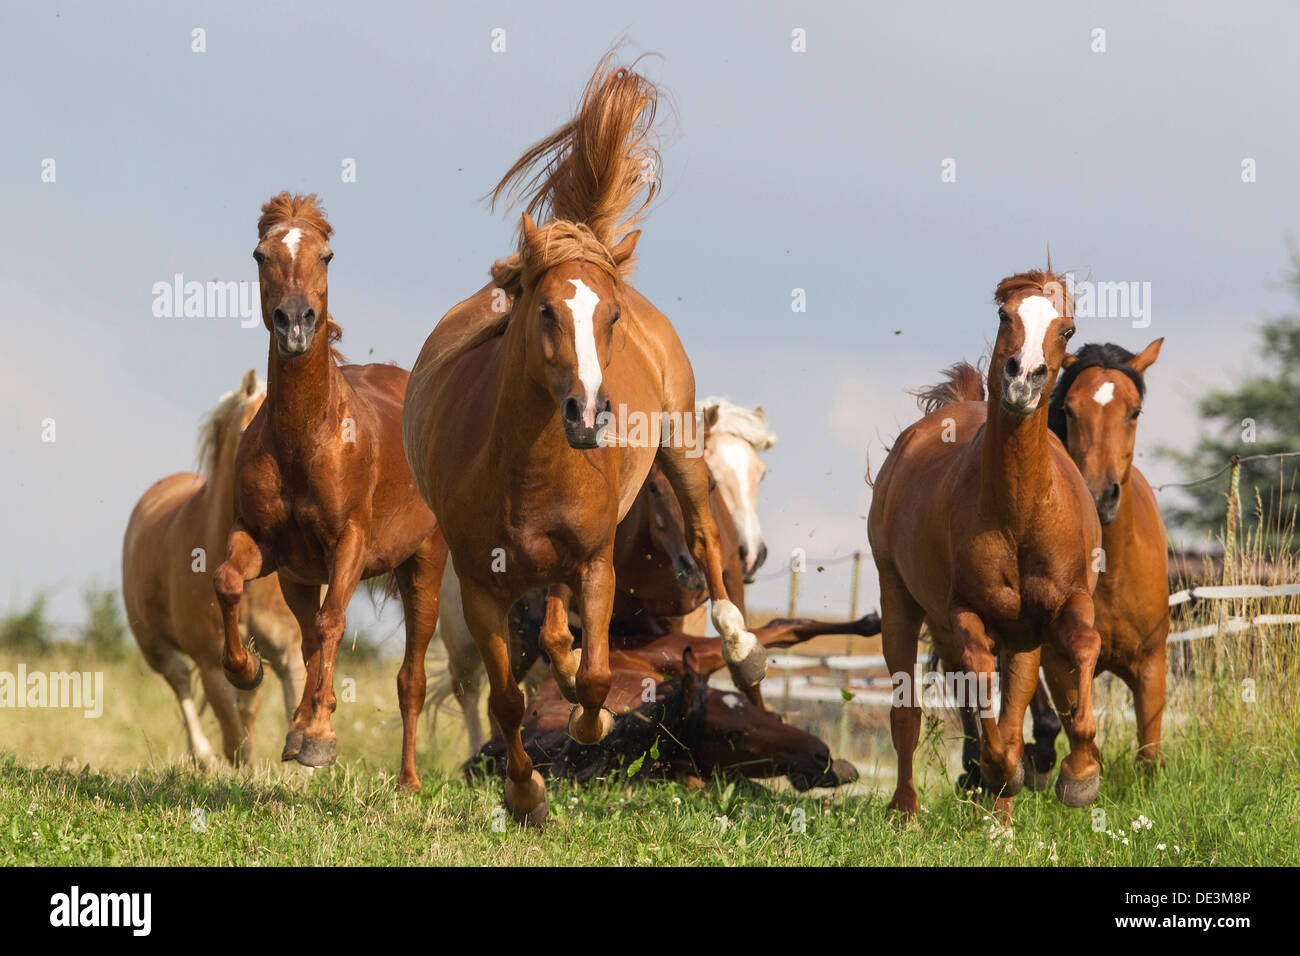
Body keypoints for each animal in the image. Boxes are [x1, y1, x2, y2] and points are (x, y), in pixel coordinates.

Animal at [122, 370, 305, 765]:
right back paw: (202, 757)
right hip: (154, 646)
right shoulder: (211, 663)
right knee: (179, 681)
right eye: (246, 431)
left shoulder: (289, 654)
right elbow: (237, 743)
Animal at [212, 192, 446, 788]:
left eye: (327, 255)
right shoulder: (265, 544)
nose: (295, 323)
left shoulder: (350, 544)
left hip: (424, 566)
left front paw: (320, 736)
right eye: (260, 254)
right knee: (309, 641)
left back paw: (407, 779)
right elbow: (229, 582)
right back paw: (298, 725)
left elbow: (333, 622)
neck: (306, 437)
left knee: (410, 677)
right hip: (298, 576)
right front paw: (246, 670)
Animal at [402, 55, 762, 824]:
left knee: (706, 539)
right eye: (544, 310)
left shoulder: (598, 564)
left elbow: (598, 678)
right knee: (550, 632)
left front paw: (589, 721)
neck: (528, 468)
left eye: (611, 316)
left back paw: (742, 648)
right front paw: (525, 793)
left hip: (680, 446)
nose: (590, 415)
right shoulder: (481, 584)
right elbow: (509, 699)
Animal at [867, 269, 1103, 818]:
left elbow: (1085, 647)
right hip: (900, 600)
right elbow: (978, 681)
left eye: (1067, 329)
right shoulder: (965, 612)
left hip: (1015, 637)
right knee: (908, 714)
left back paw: (1001, 817)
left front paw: (1080, 774)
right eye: (1004, 314)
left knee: (1007, 716)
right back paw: (907, 809)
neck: (1019, 515)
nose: (1023, 378)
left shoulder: (1059, 607)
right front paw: (996, 772)